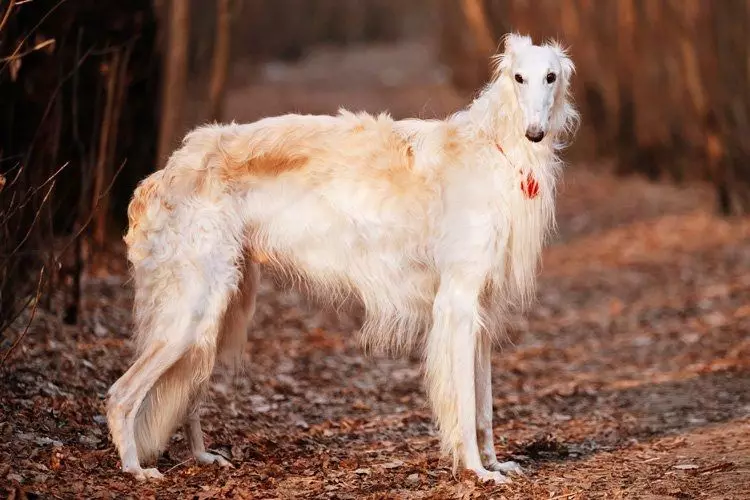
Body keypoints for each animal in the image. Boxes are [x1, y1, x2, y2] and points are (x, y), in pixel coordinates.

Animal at [106, 33, 580, 482]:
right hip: (194, 310)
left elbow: (484, 408)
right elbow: (464, 407)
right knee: (120, 395)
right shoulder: (458, 303)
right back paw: (134, 468)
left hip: (221, 308)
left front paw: (495, 463)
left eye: (550, 77)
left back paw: (201, 456)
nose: (534, 133)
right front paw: (477, 471)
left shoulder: (481, 310)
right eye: (518, 78)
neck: (496, 150)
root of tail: (164, 173)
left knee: (185, 394)